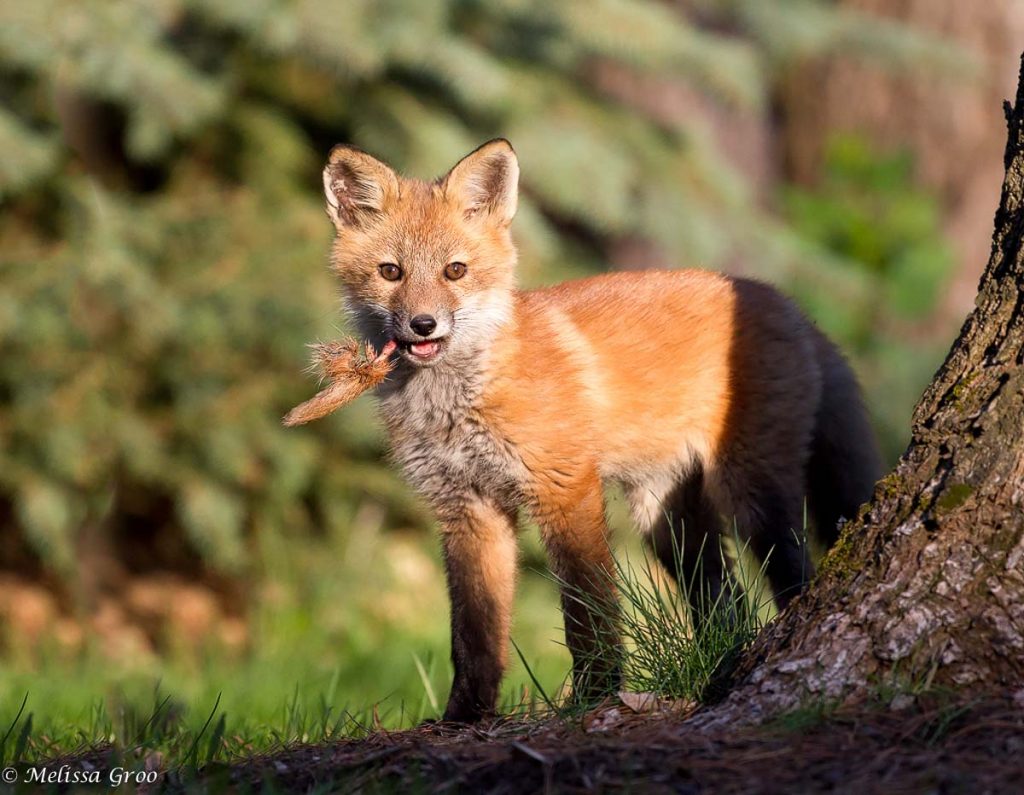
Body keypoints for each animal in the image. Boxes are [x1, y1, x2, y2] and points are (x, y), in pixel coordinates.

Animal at [317, 138, 881, 723]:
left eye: (455, 271)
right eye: (391, 272)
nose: (423, 324)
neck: (457, 402)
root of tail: (787, 305)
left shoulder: (566, 489)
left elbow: (588, 612)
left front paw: (597, 694)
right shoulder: (467, 509)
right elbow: (474, 633)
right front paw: (465, 716)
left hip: (755, 499)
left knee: (795, 573)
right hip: (668, 525)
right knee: (726, 603)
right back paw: (723, 667)